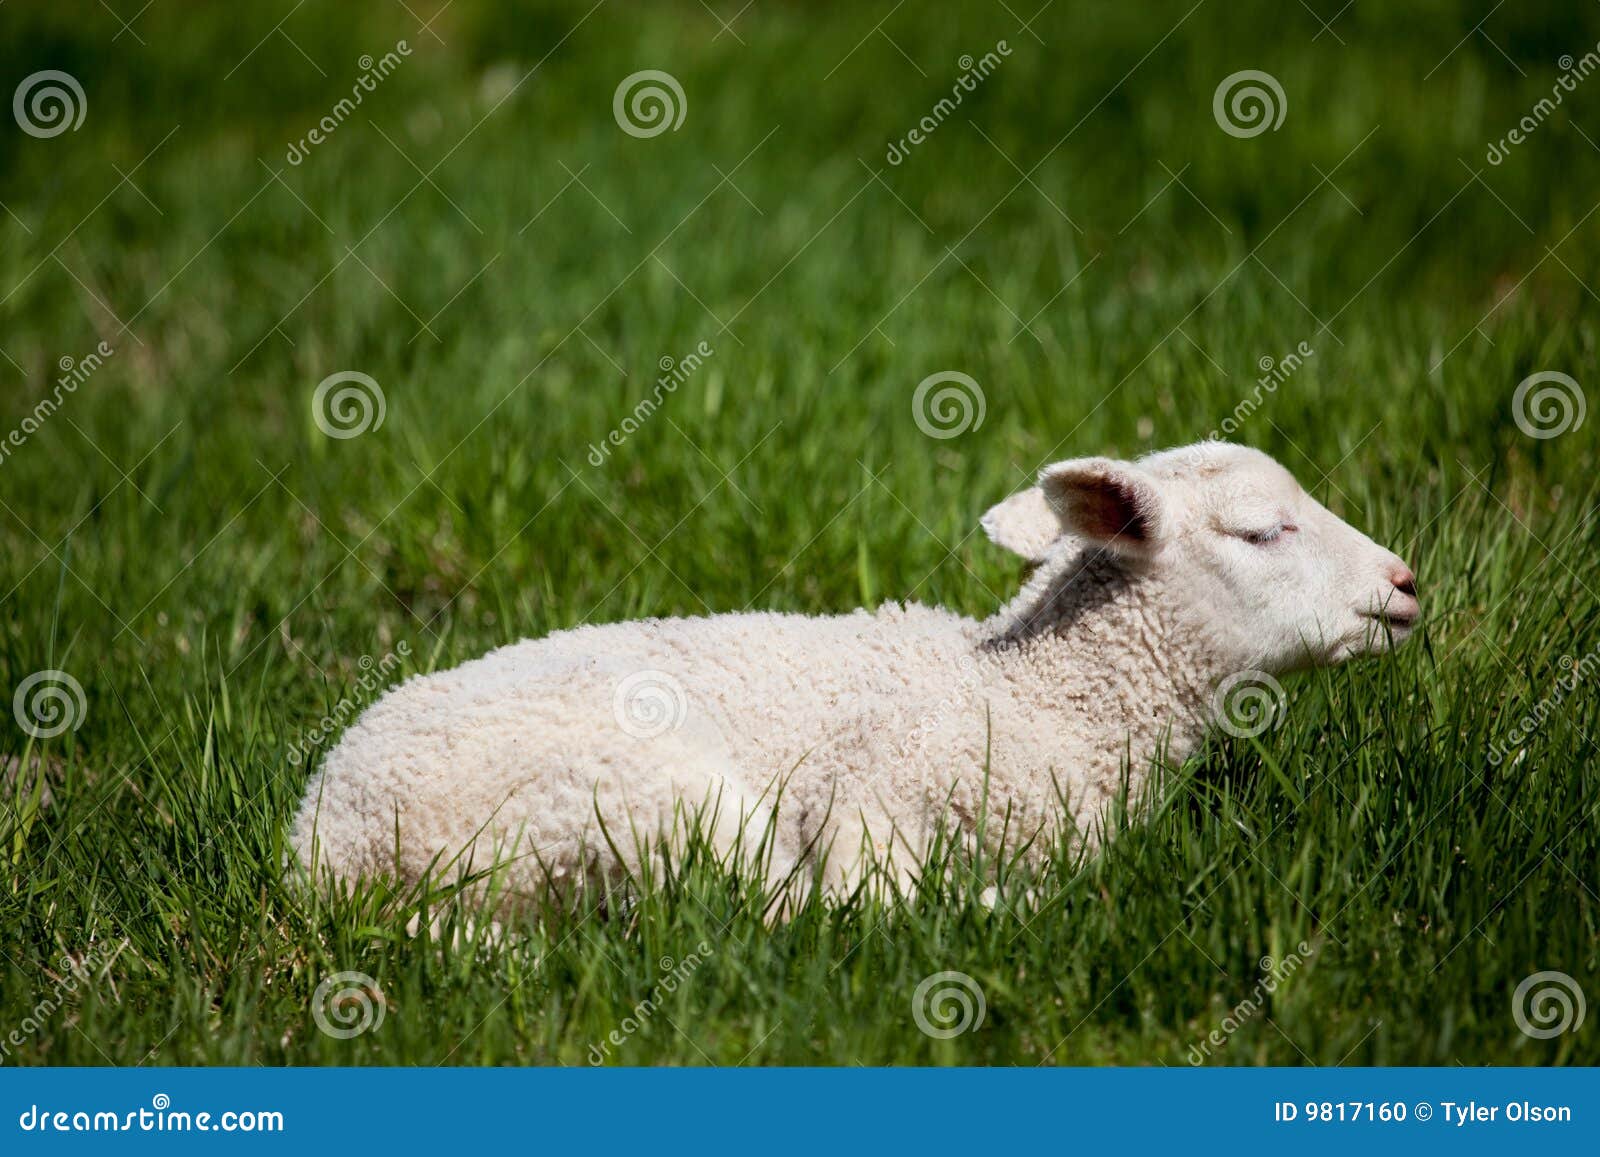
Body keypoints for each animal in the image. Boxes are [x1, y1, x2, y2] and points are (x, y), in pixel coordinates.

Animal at [289, 441, 1419, 909]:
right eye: (1262, 531)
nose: (1406, 584)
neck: (1041, 692)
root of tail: (324, 845)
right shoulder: (873, 784)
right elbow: (865, 894)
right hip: (635, 797)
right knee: (784, 914)